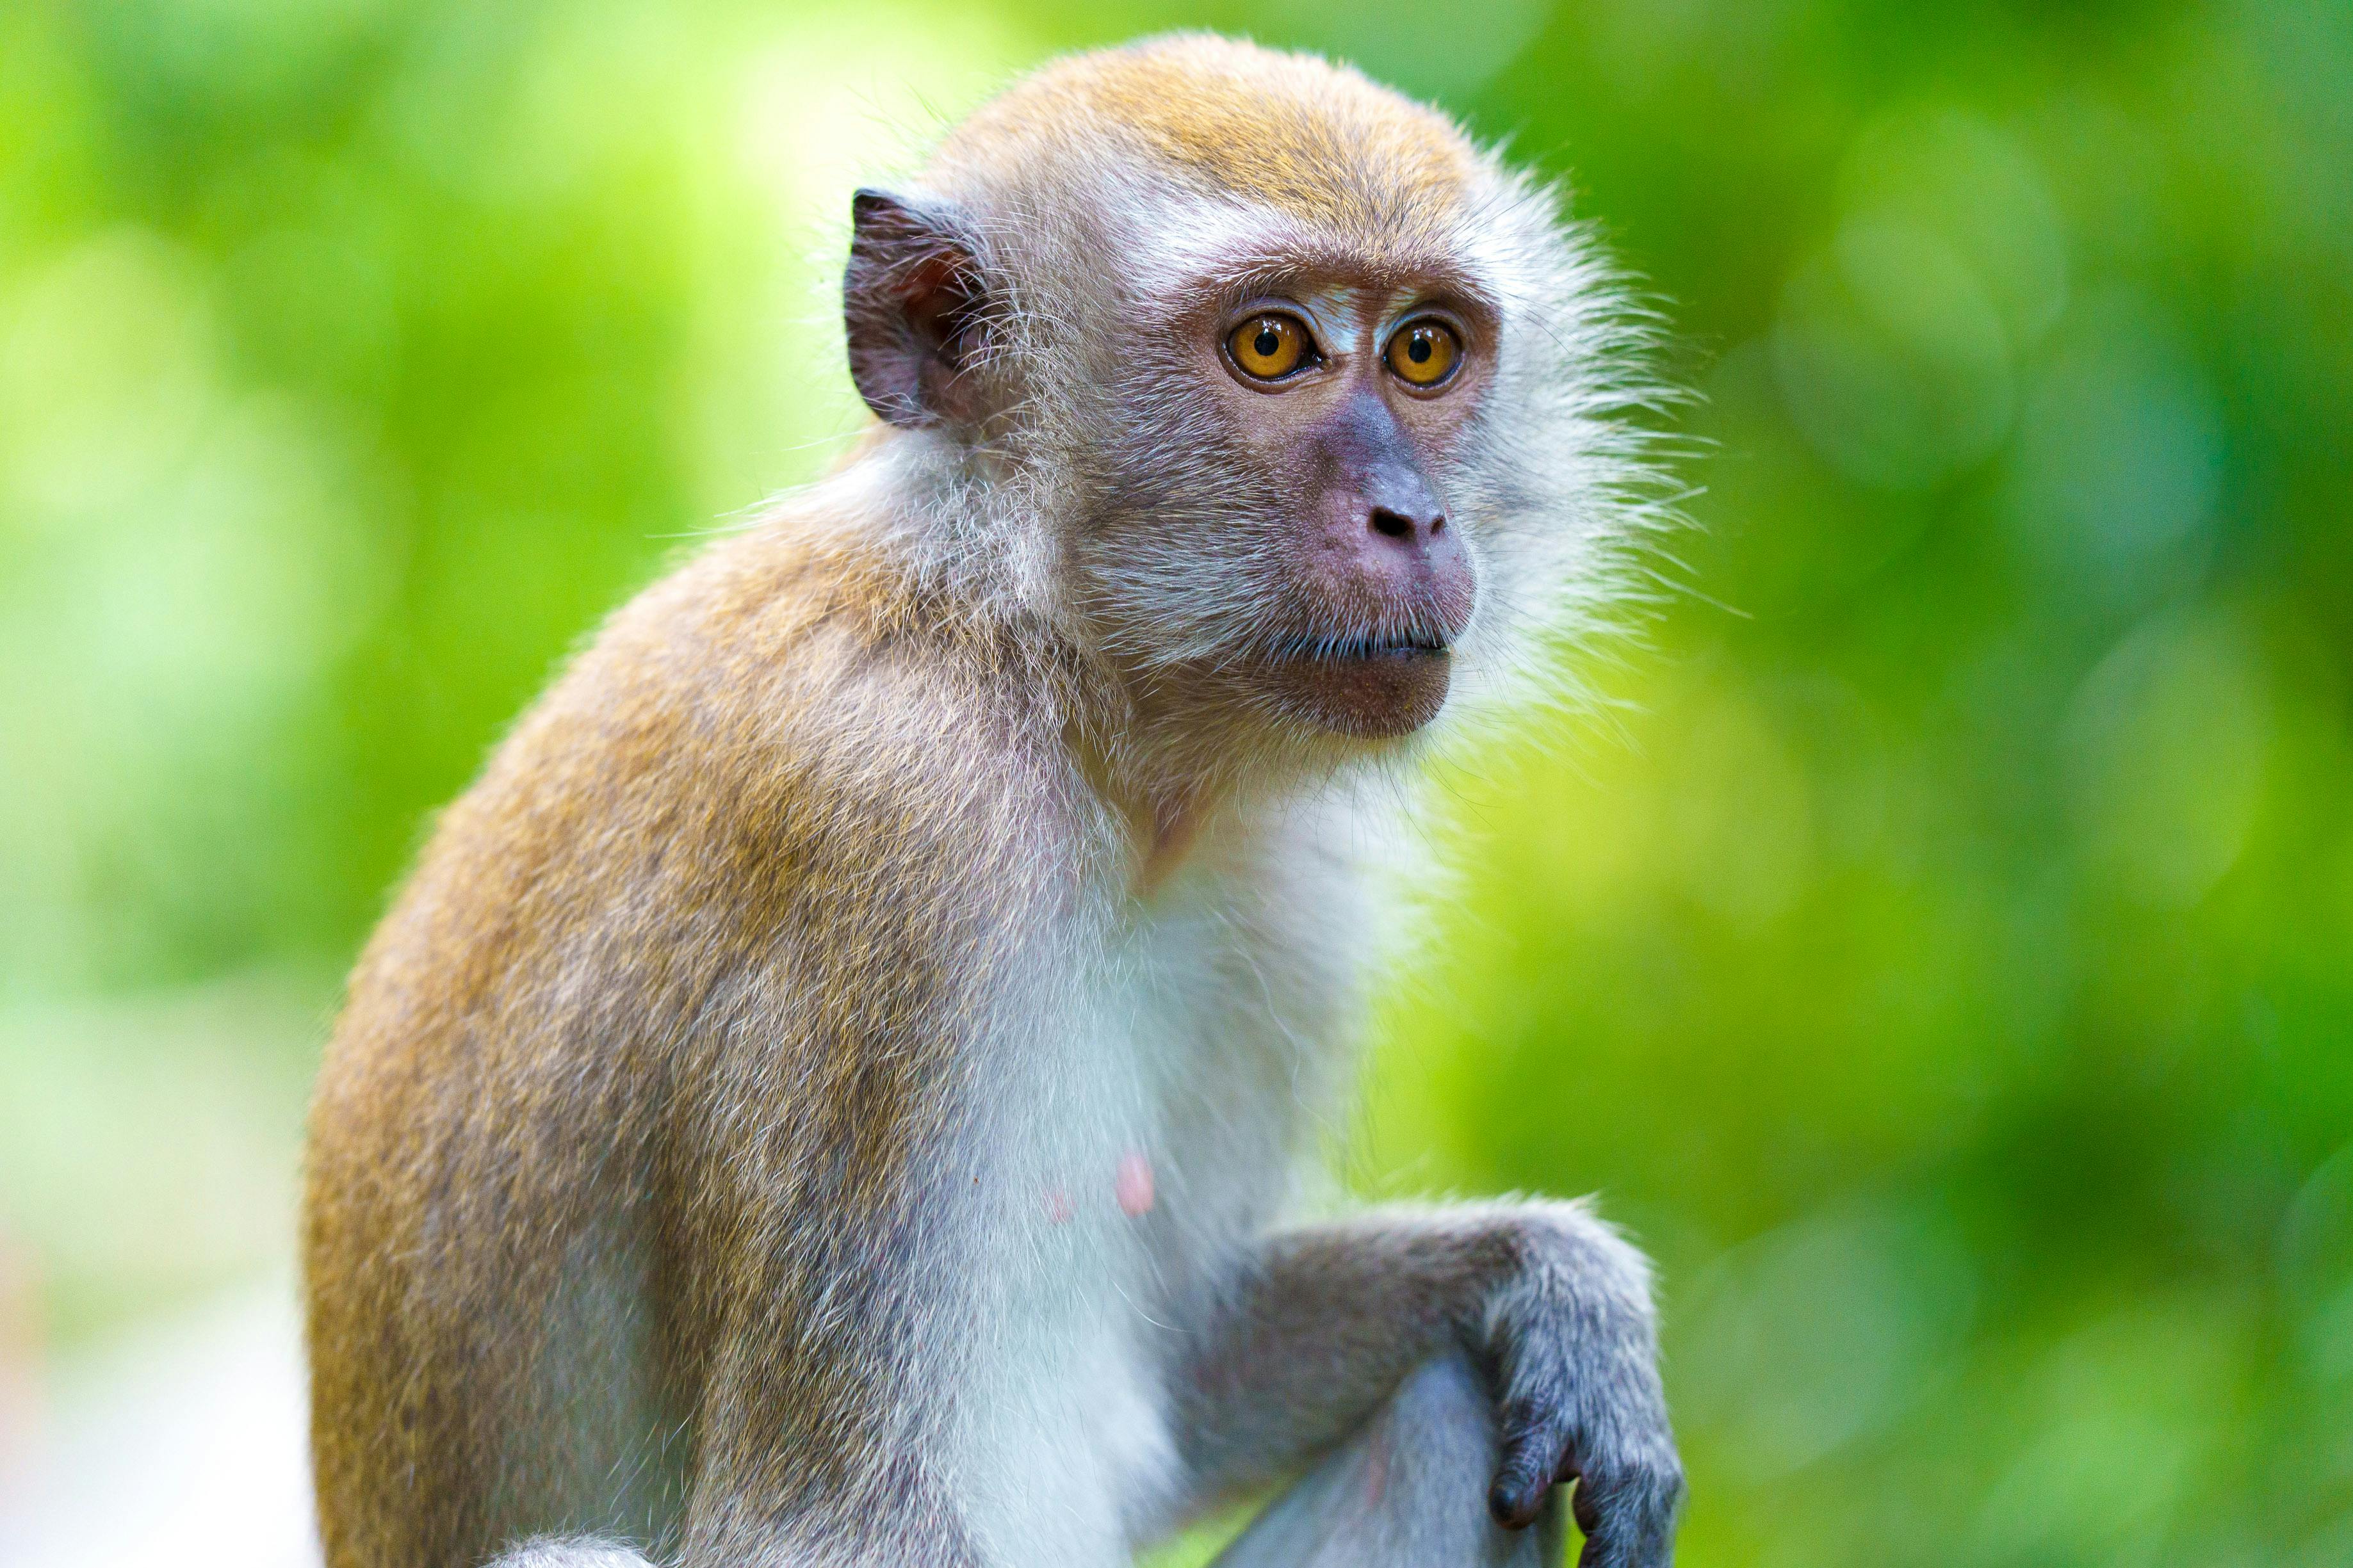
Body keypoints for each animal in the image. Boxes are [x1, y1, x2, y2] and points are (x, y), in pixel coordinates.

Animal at [301, 33, 1683, 1568]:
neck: (1049, 683)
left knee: (1444, 1403)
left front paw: (1555, 1282)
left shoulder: (1287, 889)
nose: (1412, 516)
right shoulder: (897, 827)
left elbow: (1182, 1373)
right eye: (1270, 345)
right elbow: (822, 1519)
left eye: (1425, 349)